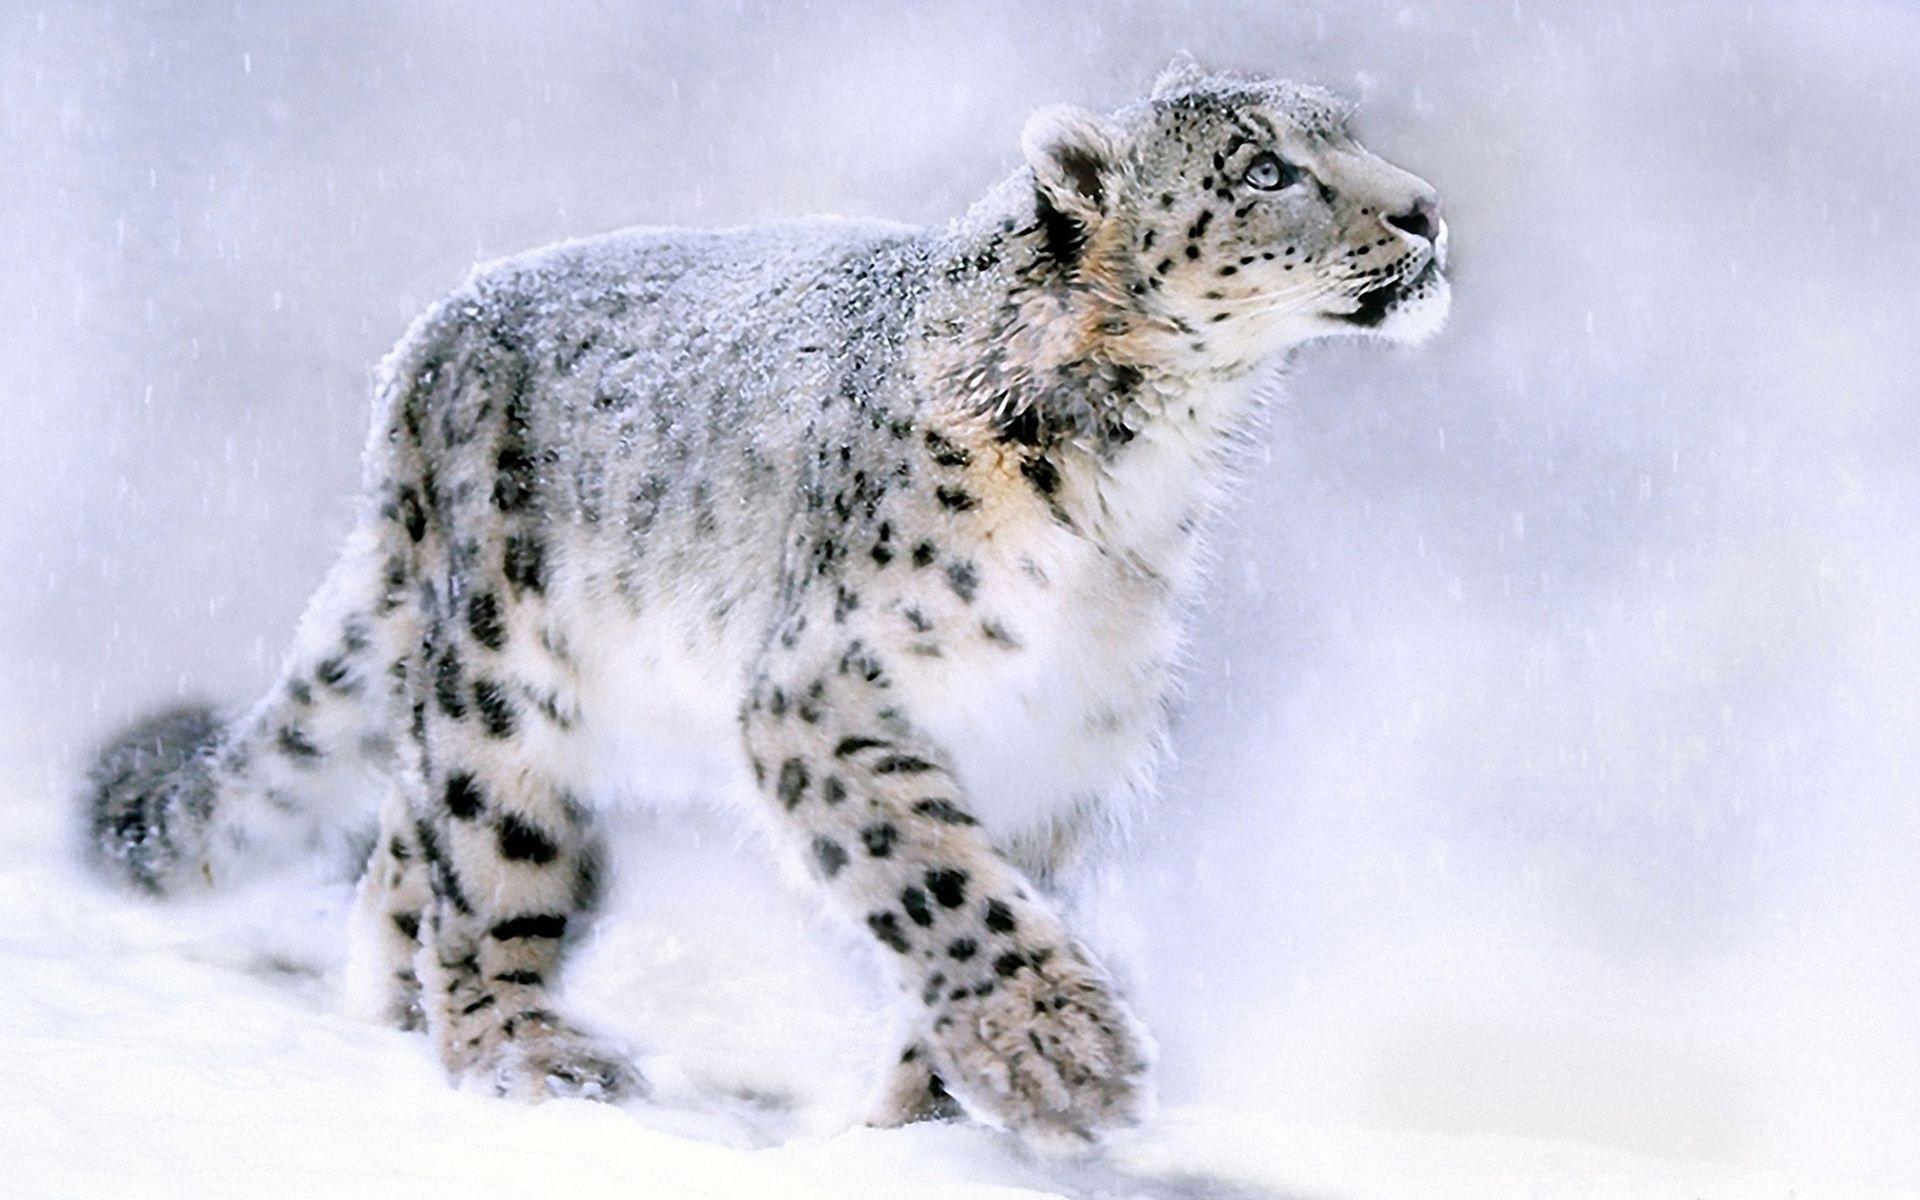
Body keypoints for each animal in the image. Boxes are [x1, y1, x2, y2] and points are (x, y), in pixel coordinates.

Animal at [82, 57, 1449, 1151]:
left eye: (1351, 135)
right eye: (1267, 167)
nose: (1425, 207)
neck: (1142, 486)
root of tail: (423, 349)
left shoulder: (1058, 739)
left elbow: (994, 890)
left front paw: (935, 1114)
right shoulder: (829, 687)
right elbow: (939, 882)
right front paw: (1064, 1063)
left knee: (397, 851)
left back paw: (383, 1009)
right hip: (502, 681)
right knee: (483, 863)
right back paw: (523, 1051)